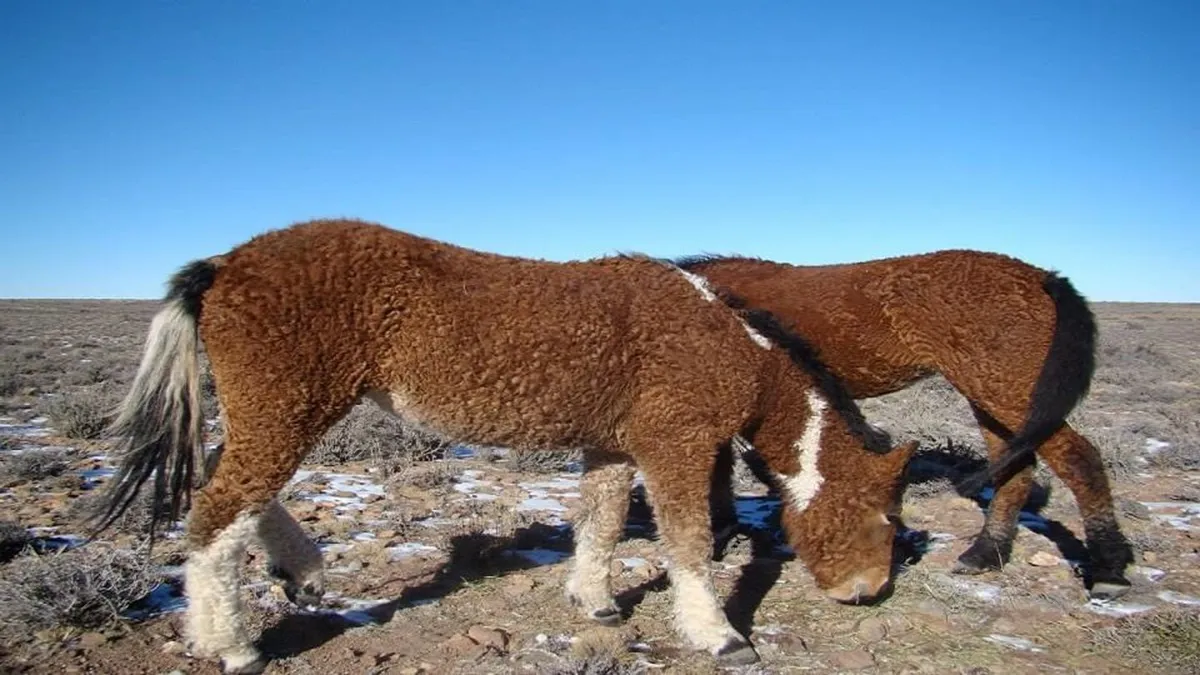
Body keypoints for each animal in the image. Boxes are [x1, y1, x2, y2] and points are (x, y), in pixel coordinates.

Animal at [92, 219, 916, 674]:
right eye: (883, 520)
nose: (867, 593)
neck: (723, 341)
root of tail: (222, 264)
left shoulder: (613, 448)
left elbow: (601, 524)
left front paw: (595, 602)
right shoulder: (676, 449)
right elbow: (688, 543)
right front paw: (719, 637)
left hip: (273, 414)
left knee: (228, 489)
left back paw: (302, 572)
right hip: (289, 410)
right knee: (216, 513)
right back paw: (231, 645)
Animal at [677, 250, 1134, 599]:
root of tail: (1043, 277)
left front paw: (718, 534)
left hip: (1007, 391)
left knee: (1079, 459)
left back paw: (1109, 569)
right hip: (992, 396)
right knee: (1016, 469)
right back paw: (985, 554)